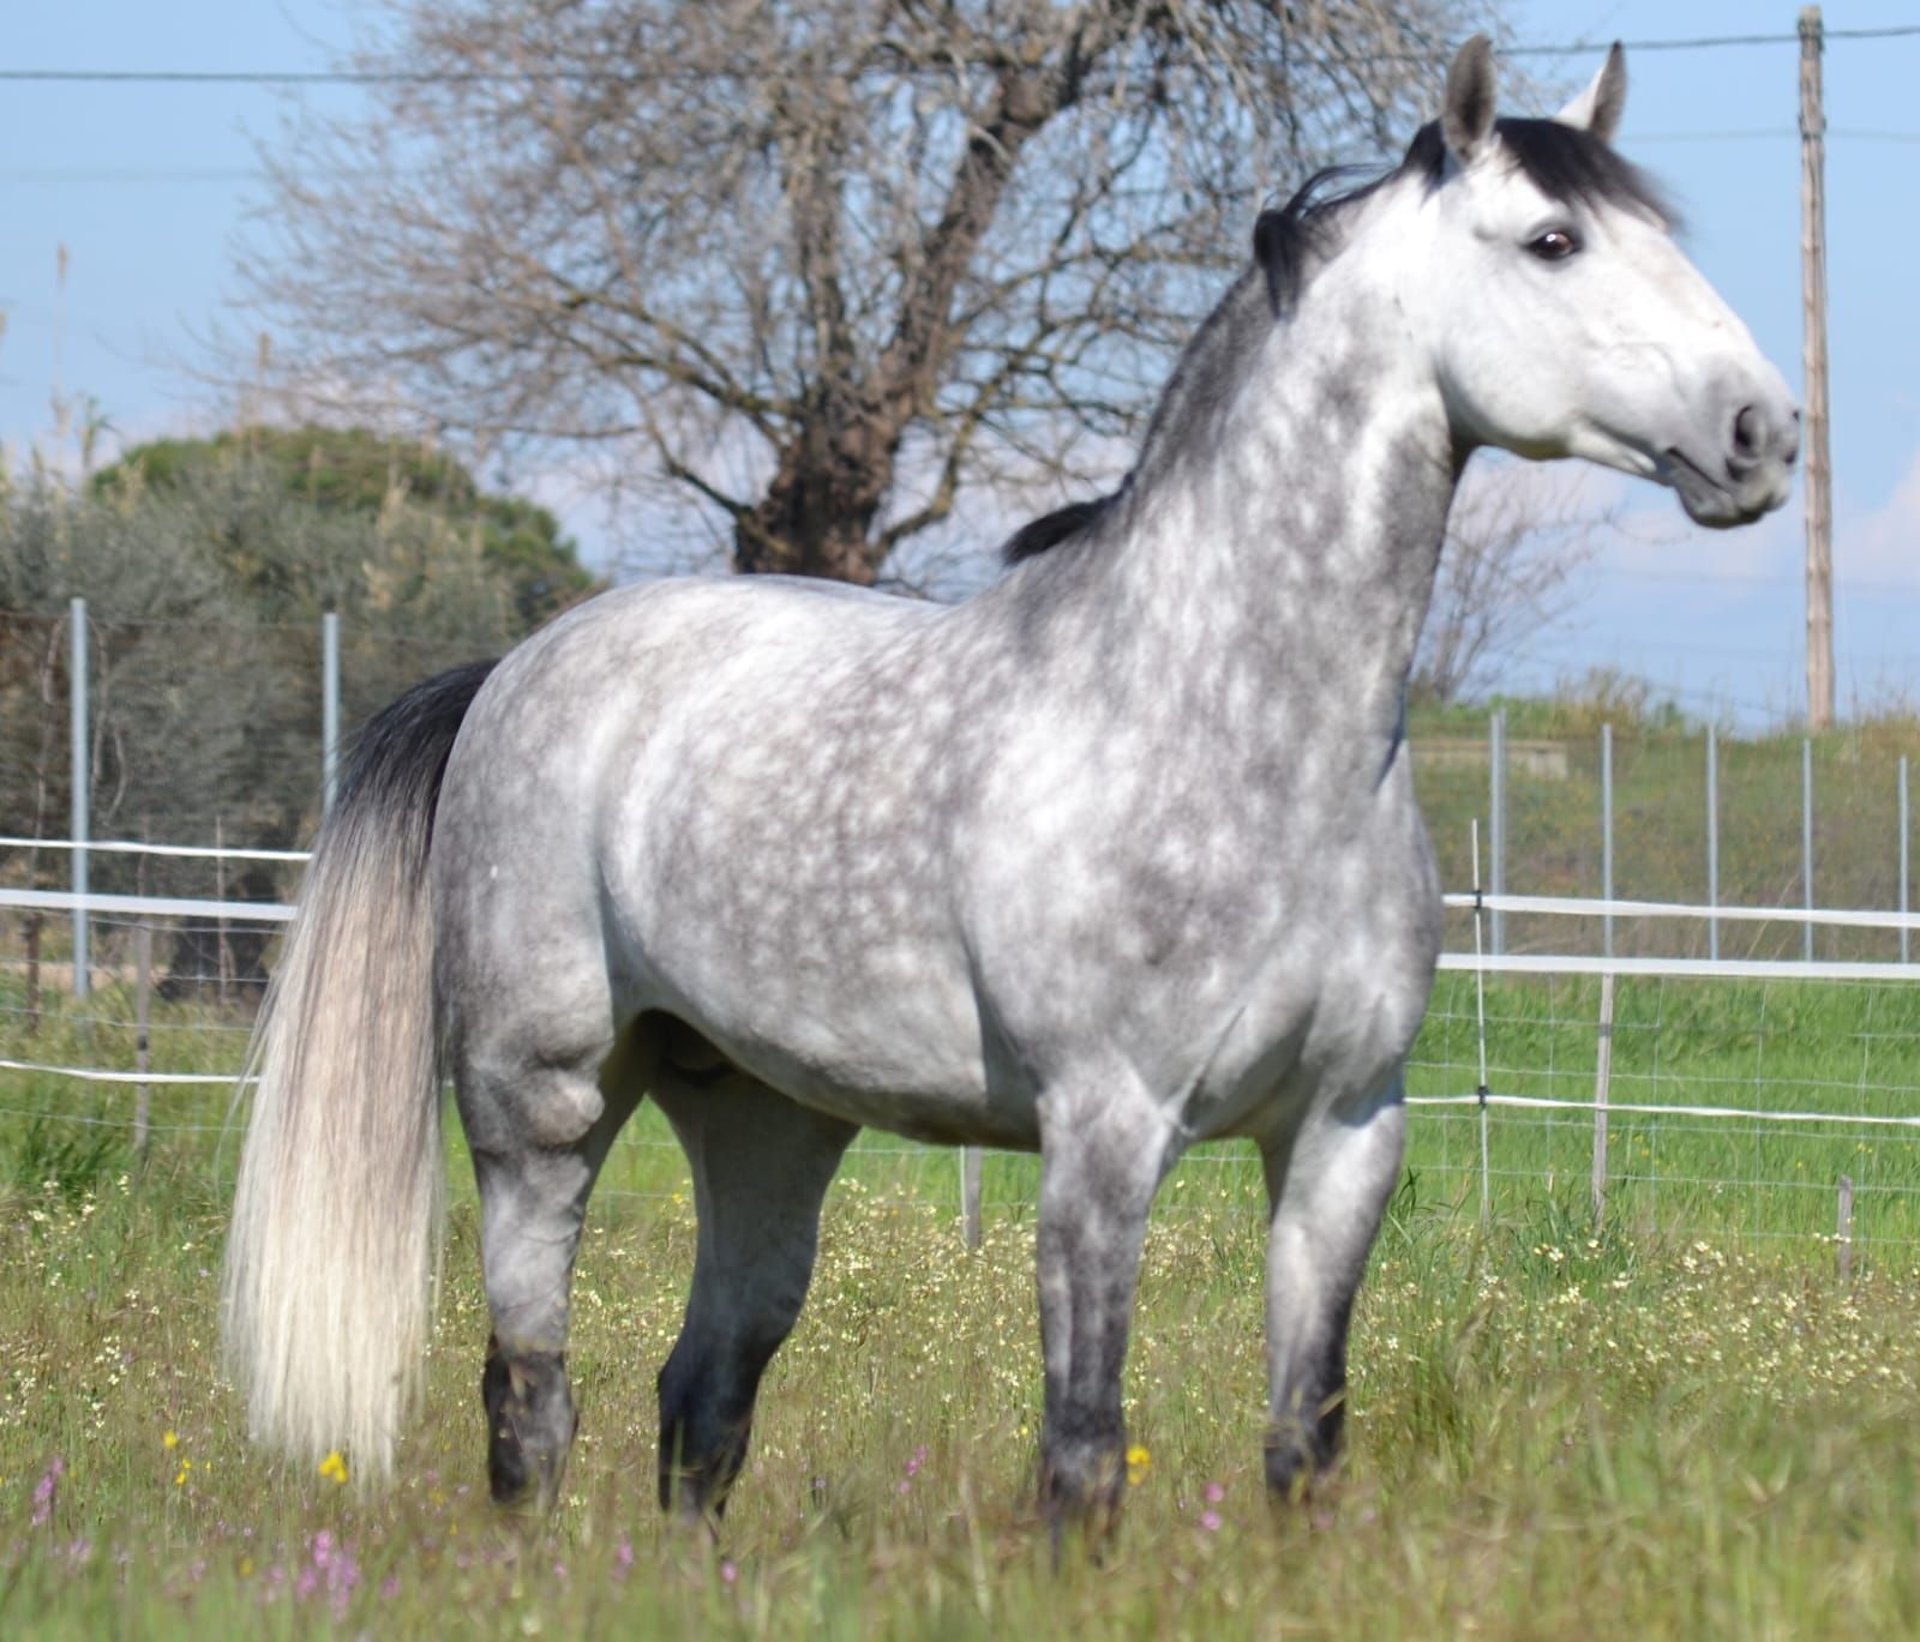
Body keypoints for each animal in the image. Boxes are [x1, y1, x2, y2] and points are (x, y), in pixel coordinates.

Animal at [223, 37, 1797, 1527]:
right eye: (1553, 240)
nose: (1761, 431)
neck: (1238, 732)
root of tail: (515, 666)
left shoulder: (1347, 1135)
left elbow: (1304, 1443)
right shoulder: (1103, 1132)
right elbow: (1084, 1451)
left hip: (765, 1115)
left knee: (703, 1397)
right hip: (538, 1102)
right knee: (530, 1400)